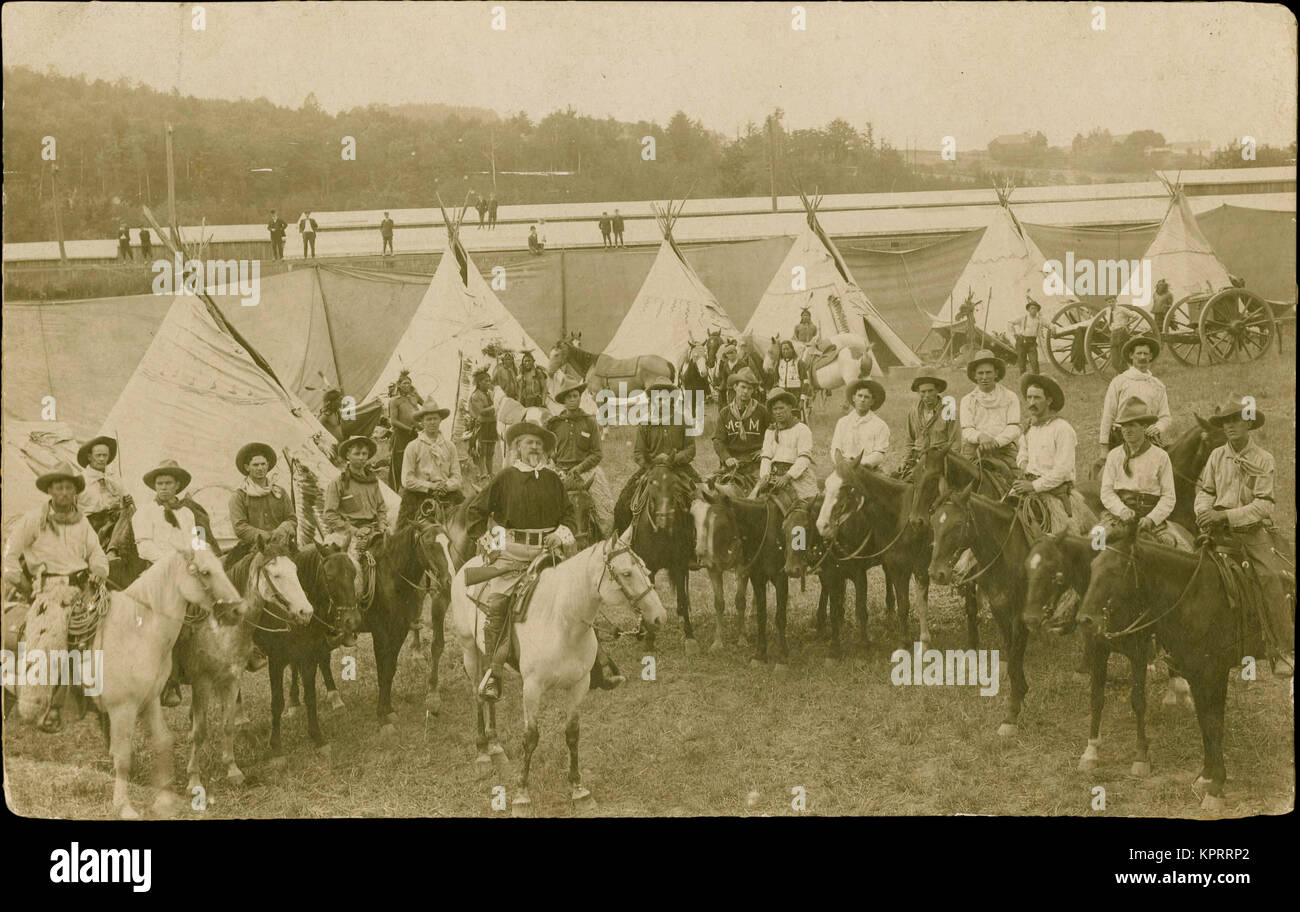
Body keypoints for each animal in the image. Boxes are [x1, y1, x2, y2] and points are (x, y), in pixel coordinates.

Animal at [182, 532, 313, 795]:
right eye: (276, 575)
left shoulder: (232, 678)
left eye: (295, 570)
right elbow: (200, 732)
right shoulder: (201, 683)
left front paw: (233, 770)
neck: (219, 627)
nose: (306, 611)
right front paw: (194, 779)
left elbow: (228, 724)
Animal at [256, 543, 358, 763]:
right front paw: (276, 748)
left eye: (354, 573)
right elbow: (277, 702)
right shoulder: (276, 660)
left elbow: (310, 696)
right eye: (330, 576)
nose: (352, 621)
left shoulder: (309, 654)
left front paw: (318, 738)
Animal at [449, 530, 670, 815]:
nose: (660, 617)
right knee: (477, 696)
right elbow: (530, 737)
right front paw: (522, 795)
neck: (562, 621)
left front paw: (579, 790)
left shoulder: (578, 685)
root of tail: (469, 565)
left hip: (487, 654)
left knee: (490, 693)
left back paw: (496, 745)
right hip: (469, 650)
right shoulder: (532, 688)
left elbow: (572, 734)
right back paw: (483, 752)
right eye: (627, 573)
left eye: (646, 568)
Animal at [691, 488, 790, 670]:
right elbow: (759, 615)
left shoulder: (777, 578)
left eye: (722, 524)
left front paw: (782, 659)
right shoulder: (755, 577)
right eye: (693, 516)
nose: (702, 555)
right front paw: (759, 655)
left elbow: (778, 617)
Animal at [1076, 530, 1248, 815]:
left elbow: (1139, 702)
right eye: (1090, 568)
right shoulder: (1100, 648)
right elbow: (1096, 699)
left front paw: (1141, 758)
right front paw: (1091, 752)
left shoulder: (1139, 650)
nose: (1084, 621)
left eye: (1115, 572)